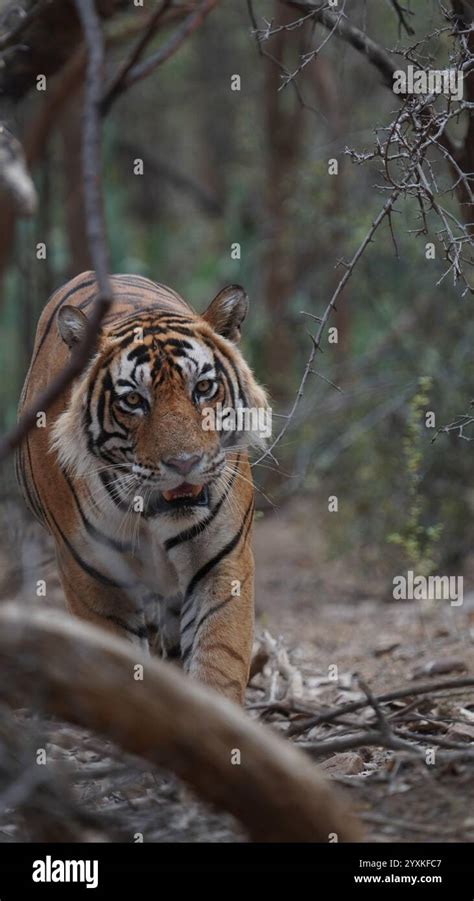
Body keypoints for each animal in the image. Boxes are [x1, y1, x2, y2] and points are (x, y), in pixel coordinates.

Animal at [16, 271, 269, 705]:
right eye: (133, 400)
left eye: (203, 388)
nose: (184, 463)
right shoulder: (94, 581)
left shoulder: (222, 564)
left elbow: (218, 663)